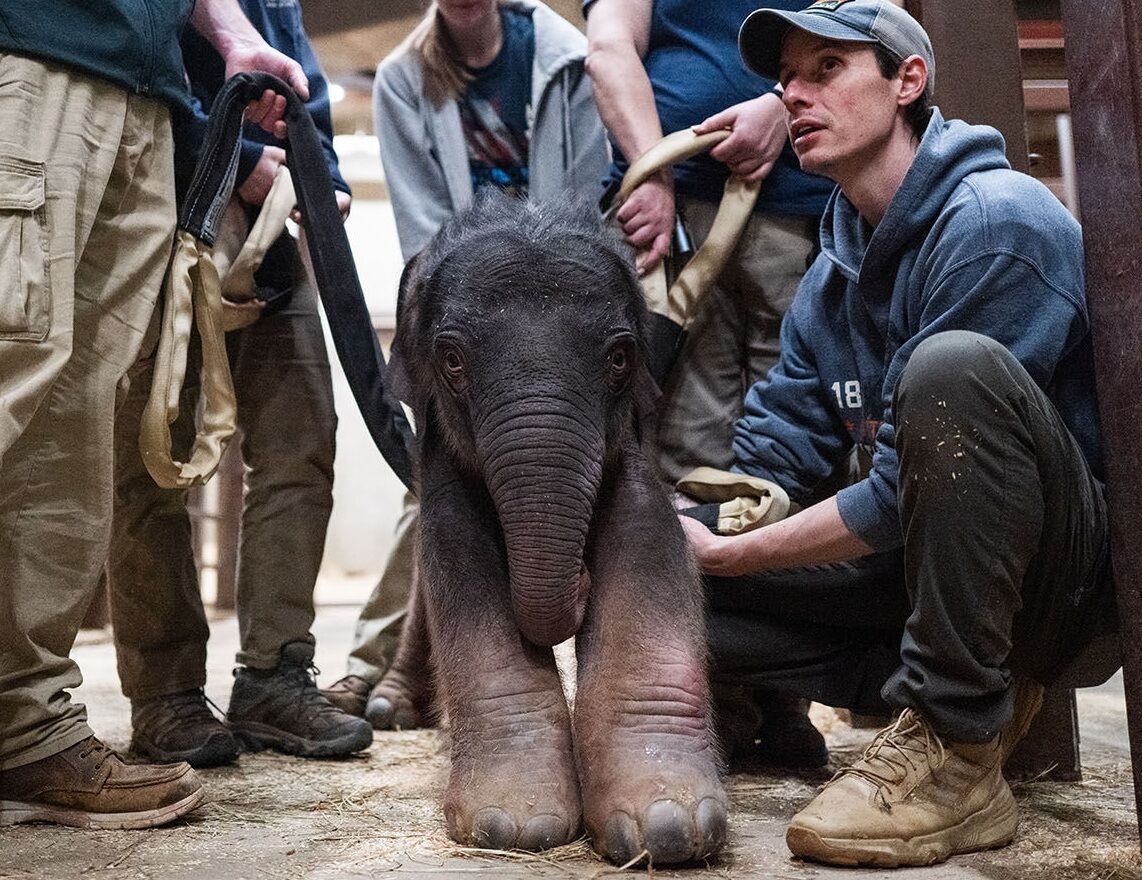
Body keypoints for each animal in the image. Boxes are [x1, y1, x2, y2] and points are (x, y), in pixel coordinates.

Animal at [381, 192, 727, 865]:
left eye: (619, 358)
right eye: (452, 361)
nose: (580, 580)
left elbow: (647, 541)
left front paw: (671, 823)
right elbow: (458, 556)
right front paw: (514, 824)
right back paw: (388, 705)